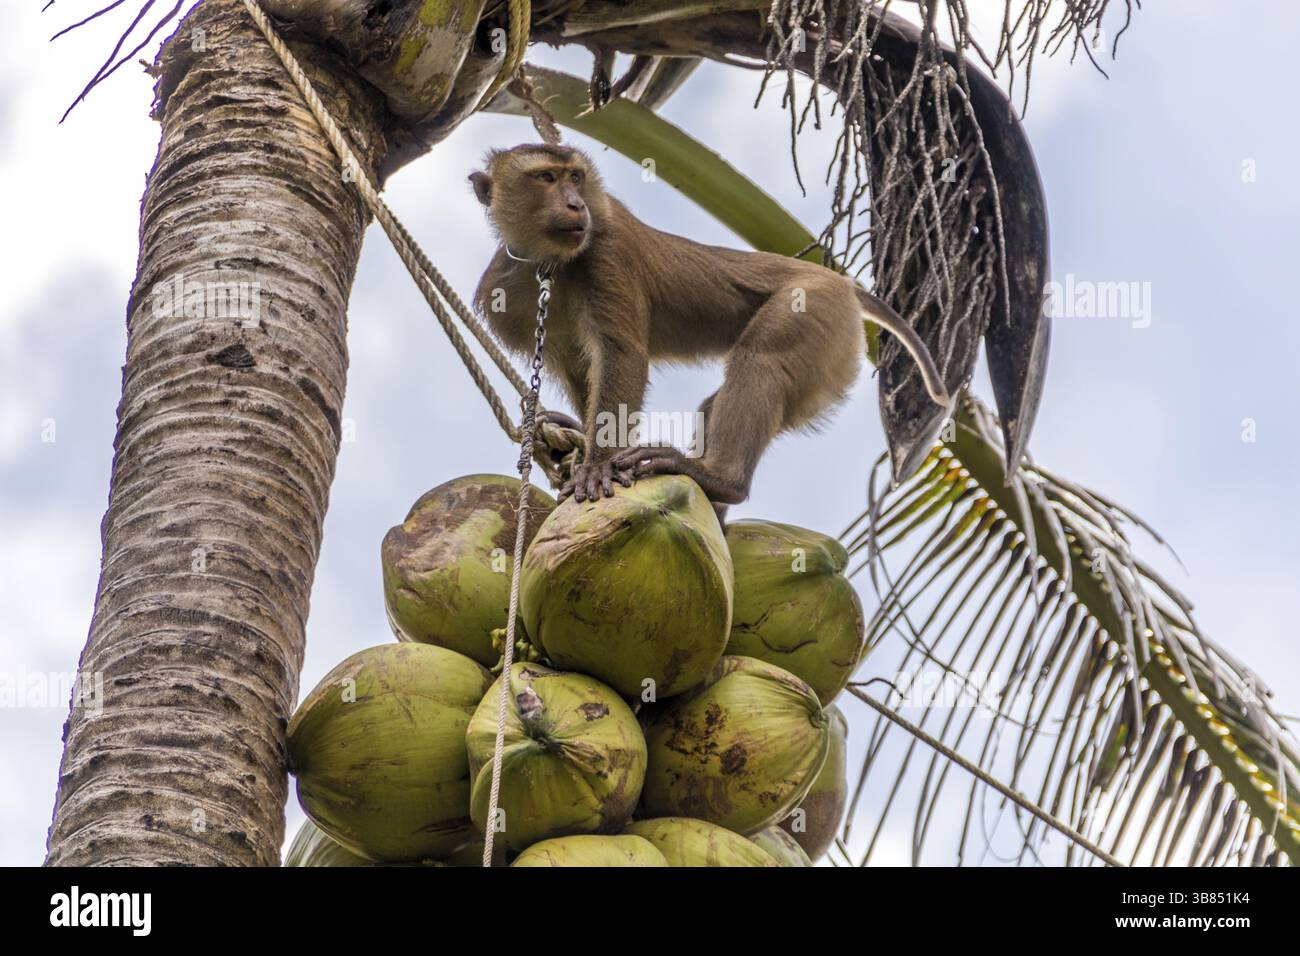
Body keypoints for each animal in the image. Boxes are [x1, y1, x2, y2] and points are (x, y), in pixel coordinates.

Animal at [470, 144, 951, 516]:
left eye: (575, 176)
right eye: (546, 177)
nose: (576, 204)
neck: (551, 263)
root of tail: (839, 281)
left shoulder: (606, 249)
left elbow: (621, 355)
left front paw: (596, 464)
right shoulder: (507, 289)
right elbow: (578, 367)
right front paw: (580, 439)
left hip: (816, 307)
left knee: (761, 358)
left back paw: (720, 480)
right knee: (715, 403)